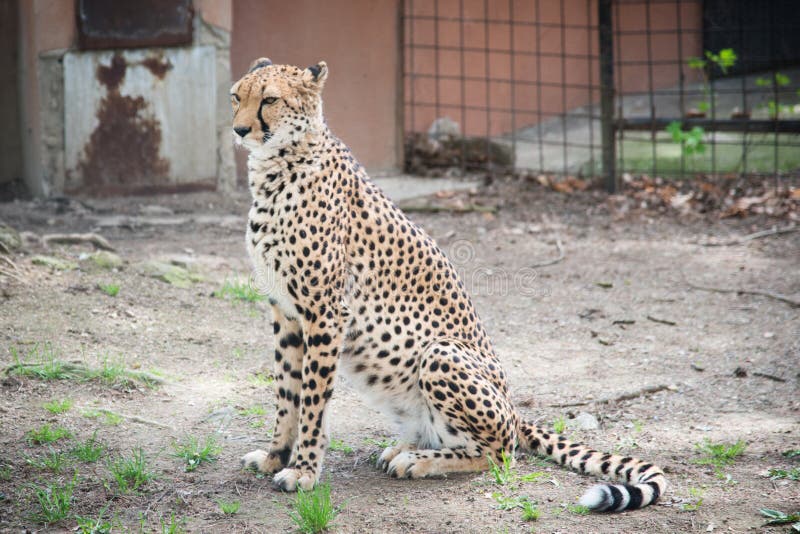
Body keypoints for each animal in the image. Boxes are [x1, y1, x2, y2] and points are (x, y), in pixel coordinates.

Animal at [231, 57, 666, 512]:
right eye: (236, 97)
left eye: (270, 100)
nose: (240, 130)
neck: (278, 167)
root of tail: (514, 408)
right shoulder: (285, 312)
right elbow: (286, 393)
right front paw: (274, 456)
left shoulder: (325, 313)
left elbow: (312, 399)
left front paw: (302, 471)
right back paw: (404, 448)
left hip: (440, 354)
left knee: (501, 452)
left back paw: (417, 461)